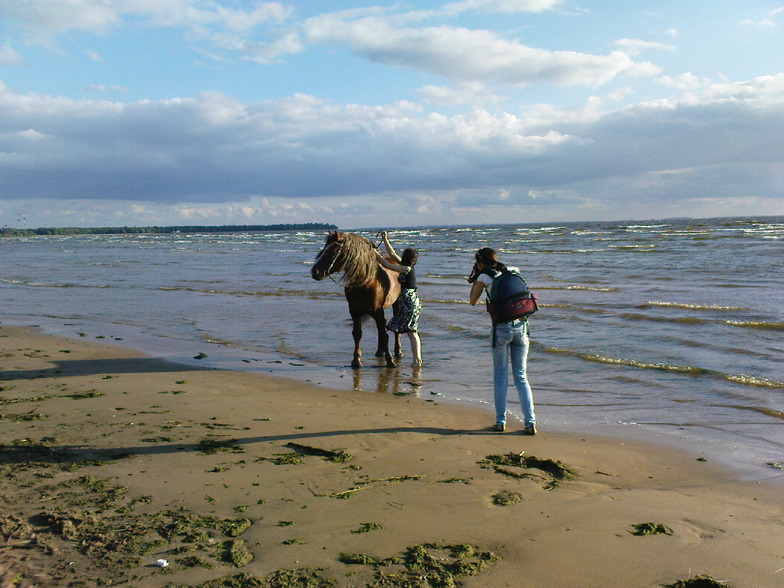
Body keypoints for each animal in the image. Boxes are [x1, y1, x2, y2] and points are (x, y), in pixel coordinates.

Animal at [310, 230, 402, 368]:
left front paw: (390, 360)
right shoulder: (354, 311)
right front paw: (356, 360)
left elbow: (384, 335)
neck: (365, 282)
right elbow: (357, 334)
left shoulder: (377, 311)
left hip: (396, 303)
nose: (314, 271)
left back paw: (397, 351)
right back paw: (379, 351)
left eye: (333, 250)